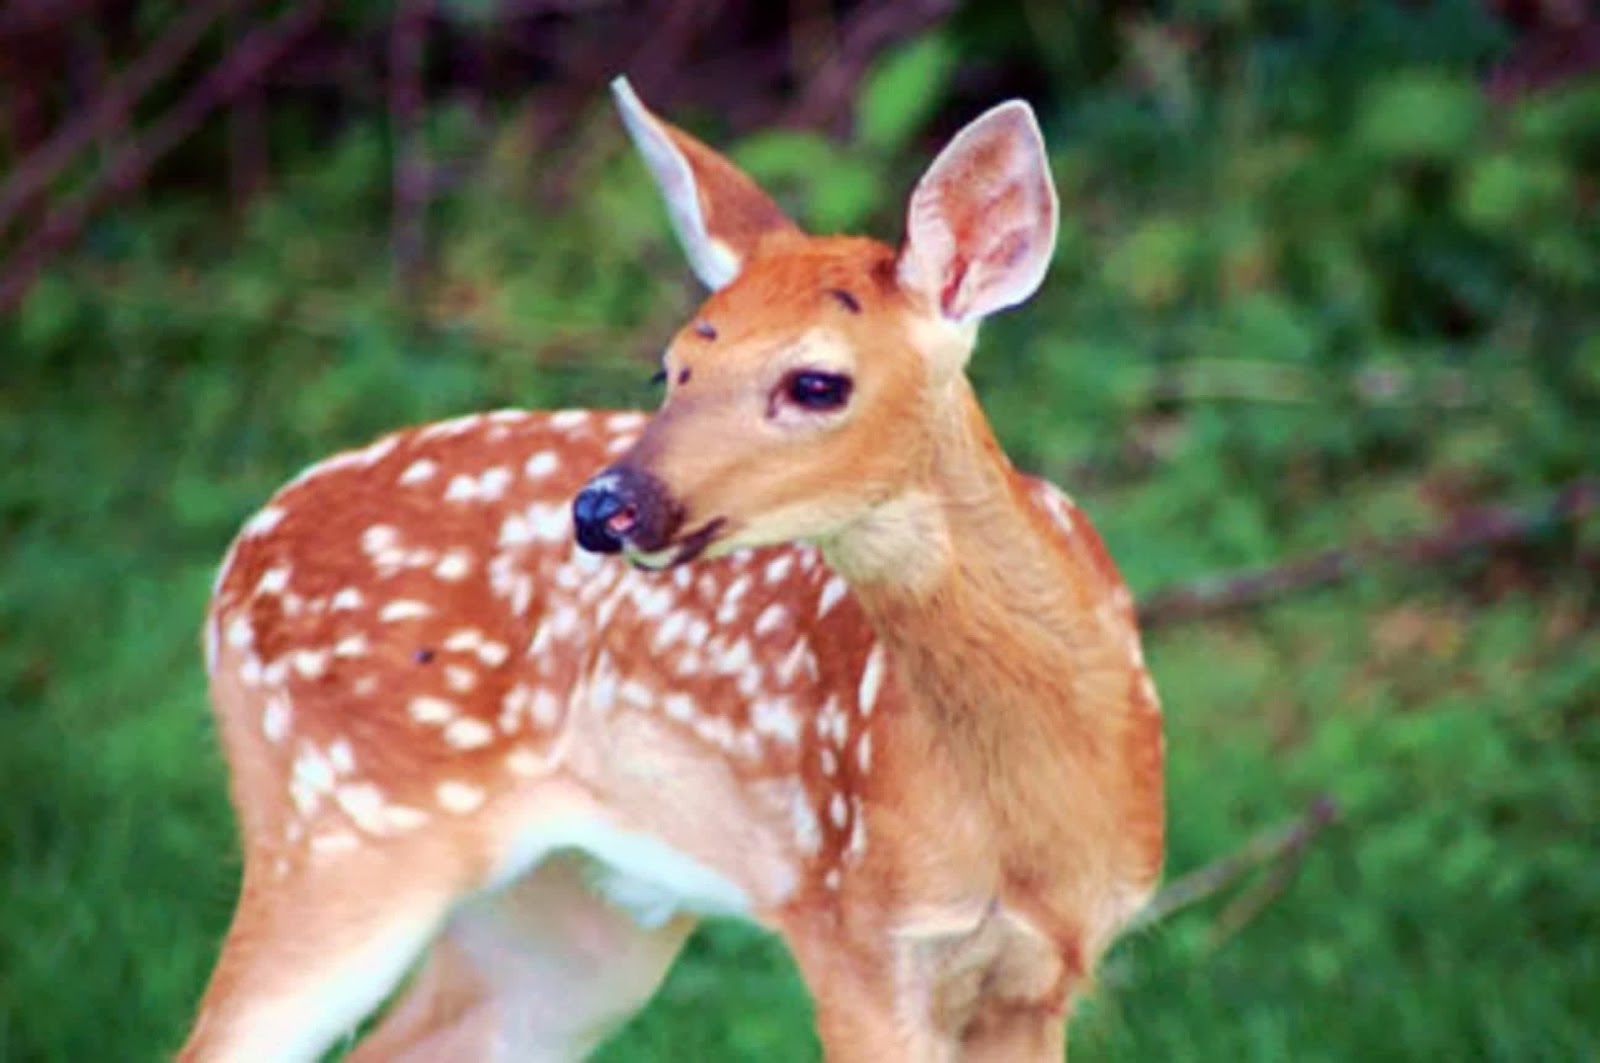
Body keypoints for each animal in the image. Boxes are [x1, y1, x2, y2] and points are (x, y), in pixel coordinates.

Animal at [180, 78, 1165, 1061]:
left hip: (571, 921)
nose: (600, 507)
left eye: (816, 383)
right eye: (673, 367)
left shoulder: (1041, 971)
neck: (1031, 821)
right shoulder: (855, 931)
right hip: (337, 825)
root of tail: (241, 555)